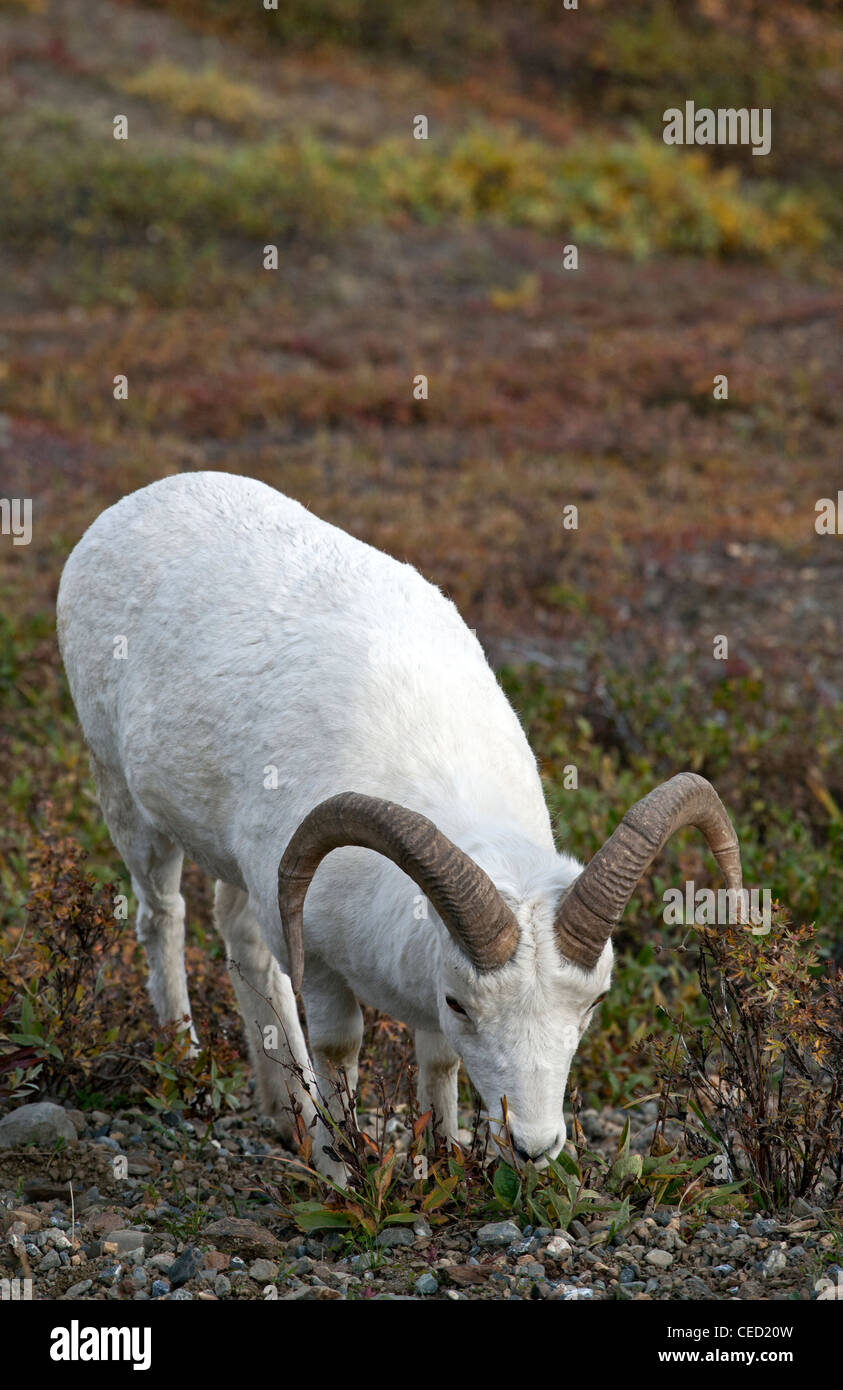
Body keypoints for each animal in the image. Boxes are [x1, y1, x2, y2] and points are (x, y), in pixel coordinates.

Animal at [56, 471, 744, 1178]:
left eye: (592, 1004)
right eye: (463, 1002)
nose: (534, 1147)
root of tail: (142, 500)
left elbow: (437, 1061)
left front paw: (439, 1161)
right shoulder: (321, 964)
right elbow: (340, 1049)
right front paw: (340, 1167)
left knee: (240, 935)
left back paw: (283, 1114)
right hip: (124, 797)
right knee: (162, 914)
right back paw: (189, 1059)